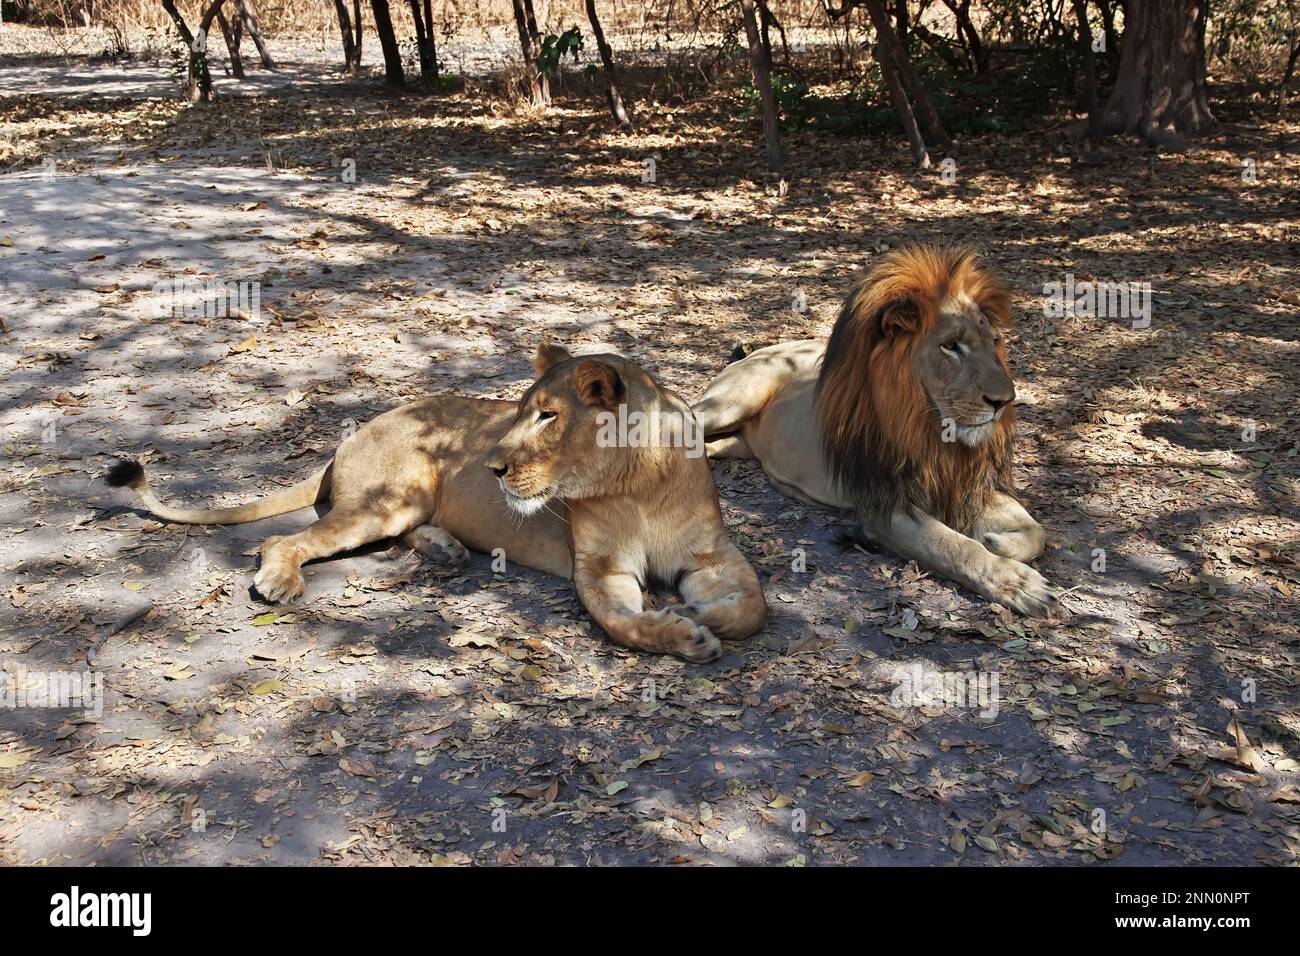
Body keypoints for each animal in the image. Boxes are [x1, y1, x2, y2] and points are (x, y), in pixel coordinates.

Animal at [106, 343, 766, 662]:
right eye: (520, 411)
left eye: (548, 417)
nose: (493, 467)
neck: (639, 482)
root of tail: (353, 435)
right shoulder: (600, 570)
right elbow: (624, 623)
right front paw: (683, 635)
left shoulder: (710, 554)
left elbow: (755, 607)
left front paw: (702, 614)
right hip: (392, 498)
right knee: (285, 538)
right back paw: (282, 580)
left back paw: (446, 549)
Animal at [691, 244, 1060, 617]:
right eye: (951, 346)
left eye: (994, 342)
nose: (1005, 401)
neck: (935, 435)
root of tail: (757, 351)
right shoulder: (886, 507)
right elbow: (951, 546)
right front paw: (1017, 583)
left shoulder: (963, 489)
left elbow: (1036, 531)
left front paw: (993, 540)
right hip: (734, 401)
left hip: (737, 441)